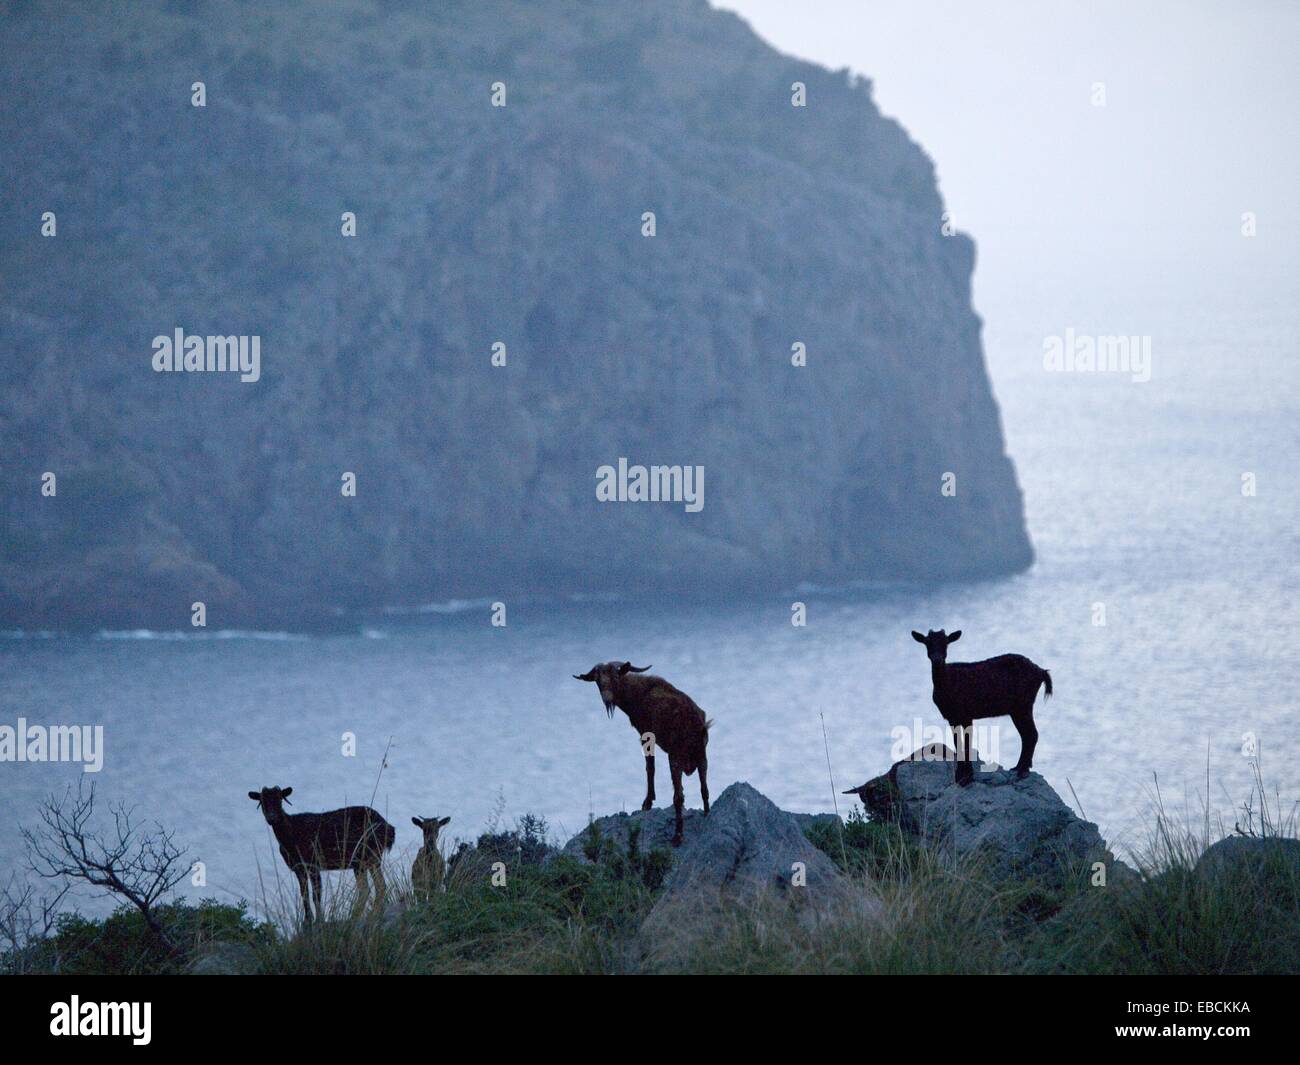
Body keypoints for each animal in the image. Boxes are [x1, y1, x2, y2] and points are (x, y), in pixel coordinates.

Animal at [248, 786, 395, 923]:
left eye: (280, 799)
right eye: (262, 801)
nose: (271, 817)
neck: (291, 838)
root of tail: (389, 829)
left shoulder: (313, 863)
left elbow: (316, 894)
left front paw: (319, 920)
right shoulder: (298, 868)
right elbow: (304, 894)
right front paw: (307, 920)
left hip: (370, 855)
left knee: (379, 886)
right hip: (360, 862)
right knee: (368, 889)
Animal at [573, 661, 711, 846]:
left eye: (615, 677)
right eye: (598, 680)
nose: (607, 699)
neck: (637, 694)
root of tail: (698, 725)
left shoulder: (646, 734)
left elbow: (649, 768)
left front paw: (647, 802)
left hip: (675, 756)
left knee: (679, 795)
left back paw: (677, 836)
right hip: (702, 755)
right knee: (704, 788)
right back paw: (706, 814)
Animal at [911, 629, 1052, 785]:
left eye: (945, 642)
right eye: (927, 642)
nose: (937, 659)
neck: (947, 685)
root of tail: (1041, 672)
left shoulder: (966, 714)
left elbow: (967, 742)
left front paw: (967, 776)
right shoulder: (952, 717)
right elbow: (957, 742)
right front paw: (960, 776)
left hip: (1023, 705)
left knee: (1031, 734)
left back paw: (1022, 770)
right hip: (1018, 708)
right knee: (1027, 735)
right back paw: (1018, 767)